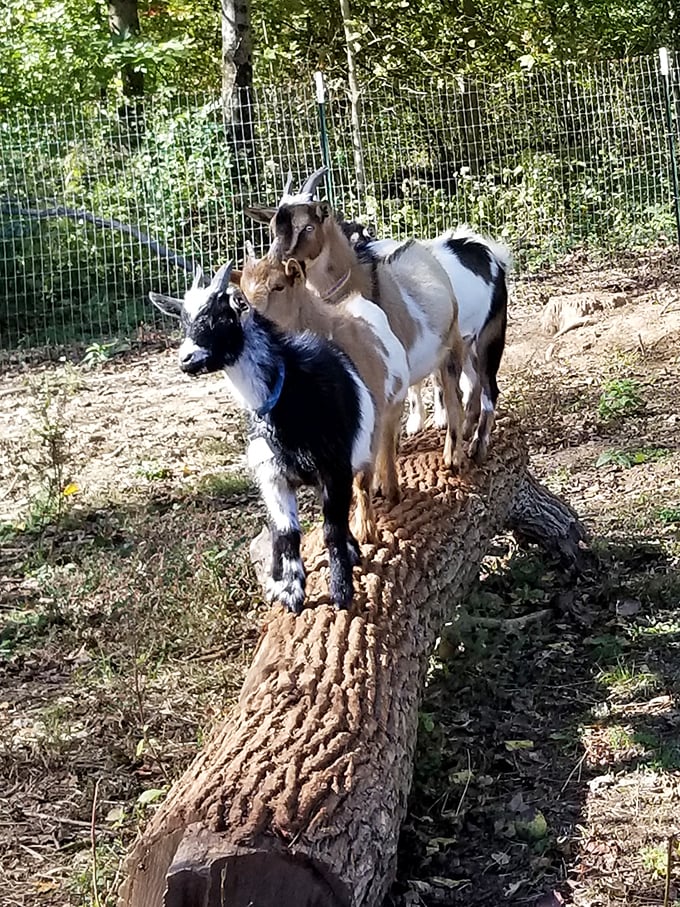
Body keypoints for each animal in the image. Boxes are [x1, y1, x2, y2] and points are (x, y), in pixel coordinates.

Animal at [149, 261, 377, 615]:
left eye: (222, 316)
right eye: (184, 322)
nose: (187, 360)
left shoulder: (335, 467)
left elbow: (332, 528)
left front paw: (342, 591)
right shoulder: (272, 475)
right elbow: (286, 532)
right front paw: (290, 590)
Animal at [231, 250, 410, 544]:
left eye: (279, 286)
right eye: (242, 293)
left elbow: (361, 479)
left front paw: (366, 532)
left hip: (393, 404)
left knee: (387, 441)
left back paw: (391, 489)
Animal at [247, 167, 510, 463]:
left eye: (308, 227)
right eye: (272, 231)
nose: (277, 266)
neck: (362, 279)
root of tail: (487, 251)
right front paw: (416, 425)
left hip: (490, 333)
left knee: (488, 387)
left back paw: (477, 444)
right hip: (464, 342)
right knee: (471, 382)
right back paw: (465, 428)